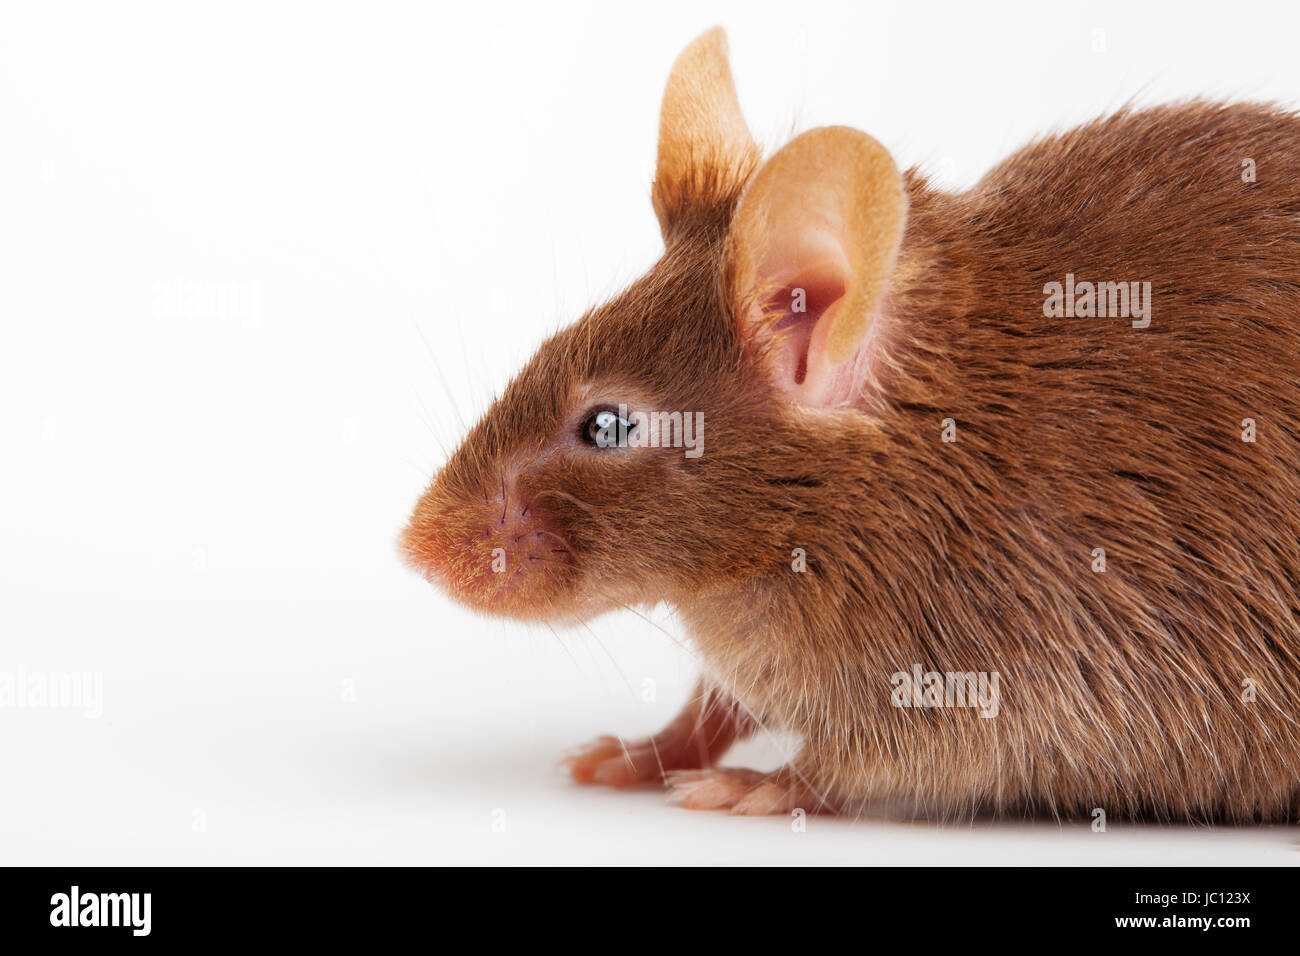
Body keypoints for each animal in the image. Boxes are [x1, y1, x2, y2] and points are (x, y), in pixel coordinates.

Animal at [402, 27, 1300, 821]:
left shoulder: (984, 665)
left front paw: (762, 785)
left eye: (606, 427)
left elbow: (871, 759)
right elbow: (716, 704)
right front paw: (648, 748)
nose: (416, 553)